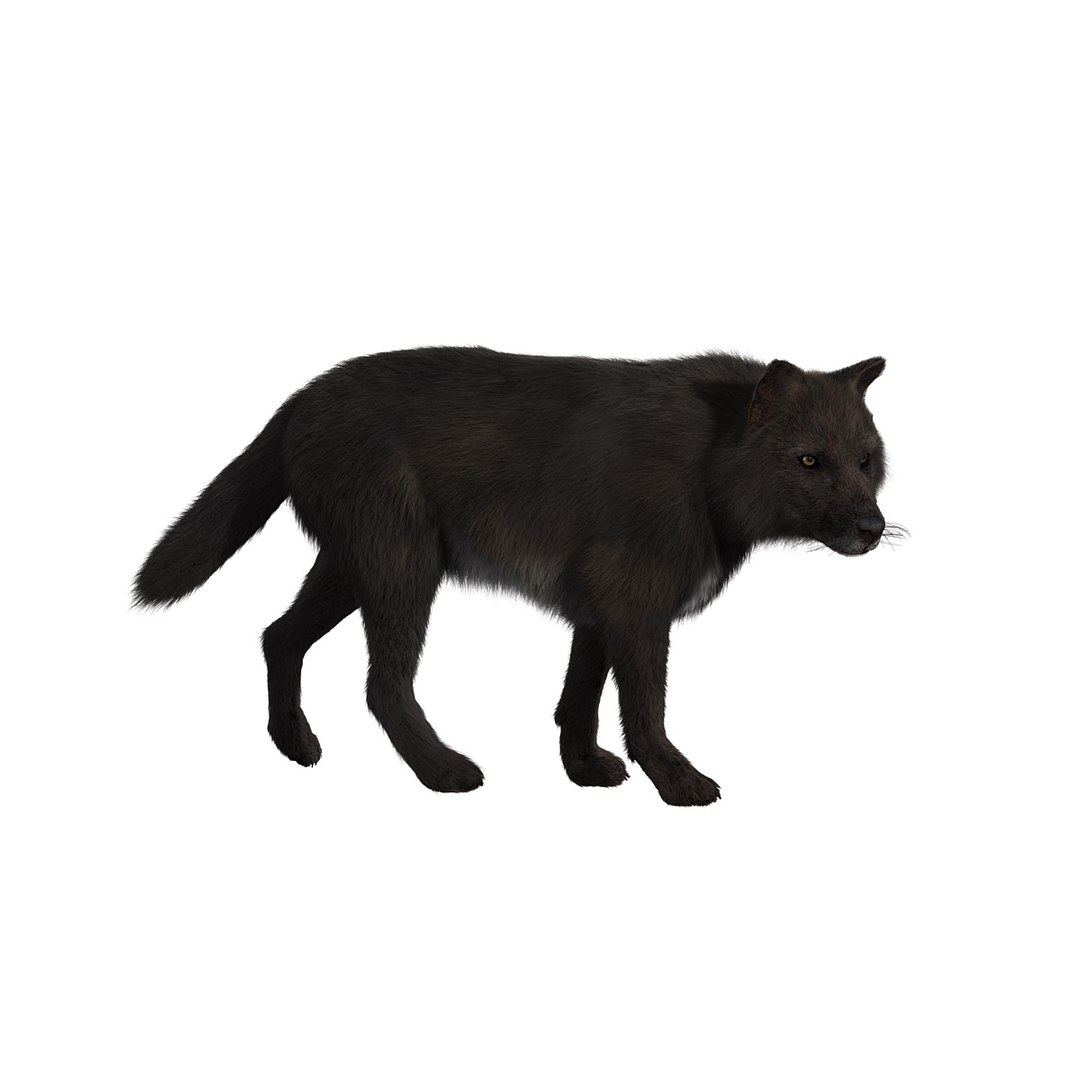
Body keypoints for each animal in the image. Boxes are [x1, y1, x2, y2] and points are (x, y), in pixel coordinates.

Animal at [134, 347, 898, 805]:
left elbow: (578, 702)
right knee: (381, 685)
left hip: (356, 572)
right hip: (402, 573)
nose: (872, 528)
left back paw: (294, 744)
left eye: (866, 460)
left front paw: (584, 771)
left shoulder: (598, 613)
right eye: (809, 461)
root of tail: (301, 396)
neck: (707, 463)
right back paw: (442, 771)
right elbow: (644, 712)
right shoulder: (637, 612)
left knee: (277, 635)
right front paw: (678, 783)